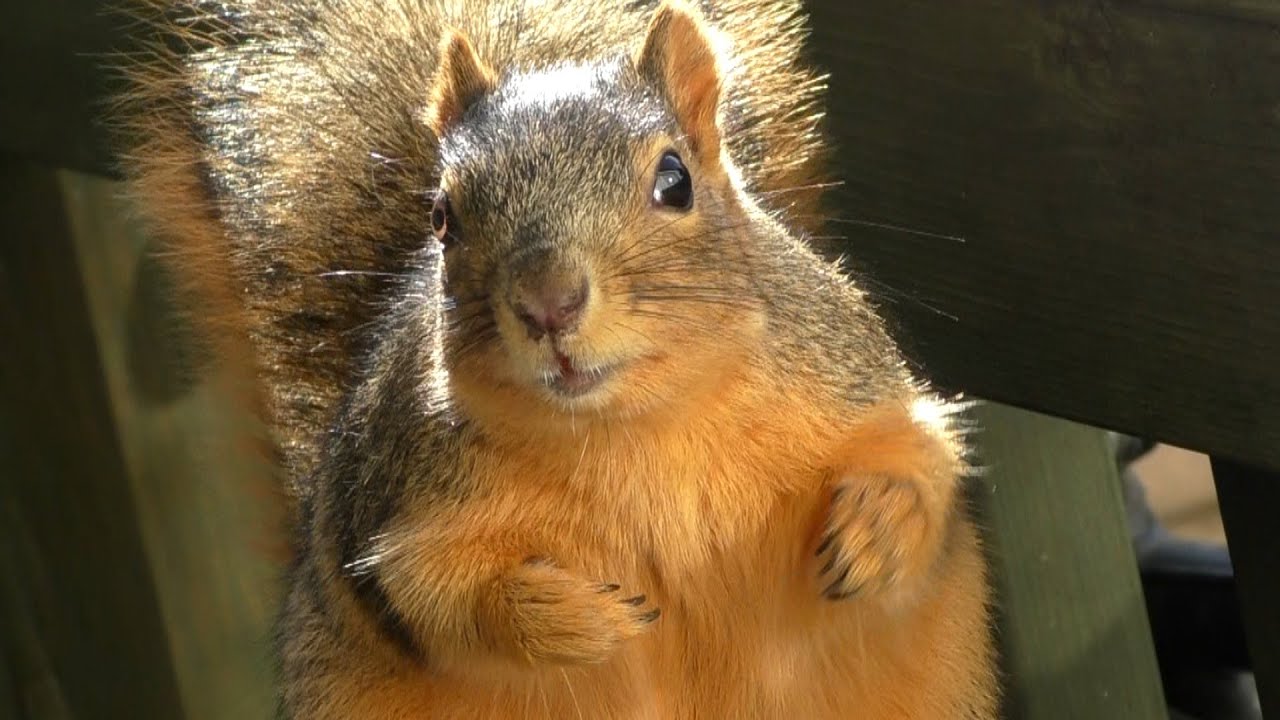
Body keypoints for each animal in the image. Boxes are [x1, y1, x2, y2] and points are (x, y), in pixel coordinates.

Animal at [118, 0, 997, 717]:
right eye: (442, 216)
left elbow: (920, 457)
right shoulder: (401, 507)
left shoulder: (848, 379)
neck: (633, 428)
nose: (549, 302)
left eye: (676, 181)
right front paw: (574, 616)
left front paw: (875, 529)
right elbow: (440, 597)